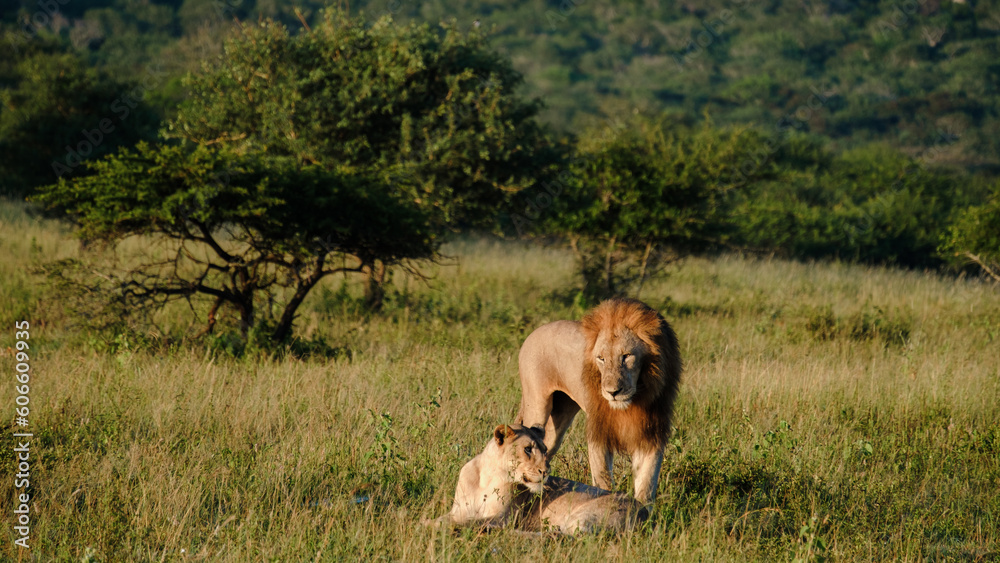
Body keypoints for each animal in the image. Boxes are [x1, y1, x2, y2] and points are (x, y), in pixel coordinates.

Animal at [430, 424, 648, 535]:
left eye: (544, 449)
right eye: (527, 449)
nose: (546, 470)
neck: (487, 477)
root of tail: (648, 515)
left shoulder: (504, 517)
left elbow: (470, 521)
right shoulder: (458, 510)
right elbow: (446, 519)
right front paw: (427, 523)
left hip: (584, 516)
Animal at [516, 297, 681, 505]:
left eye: (626, 356)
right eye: (601, 358)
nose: (613, 392)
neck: (634, 400)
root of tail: (533, 332)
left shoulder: (651, 431)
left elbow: (647, 485)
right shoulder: (599, 431)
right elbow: (603, 481)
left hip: (560, 417)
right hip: (537, 405)